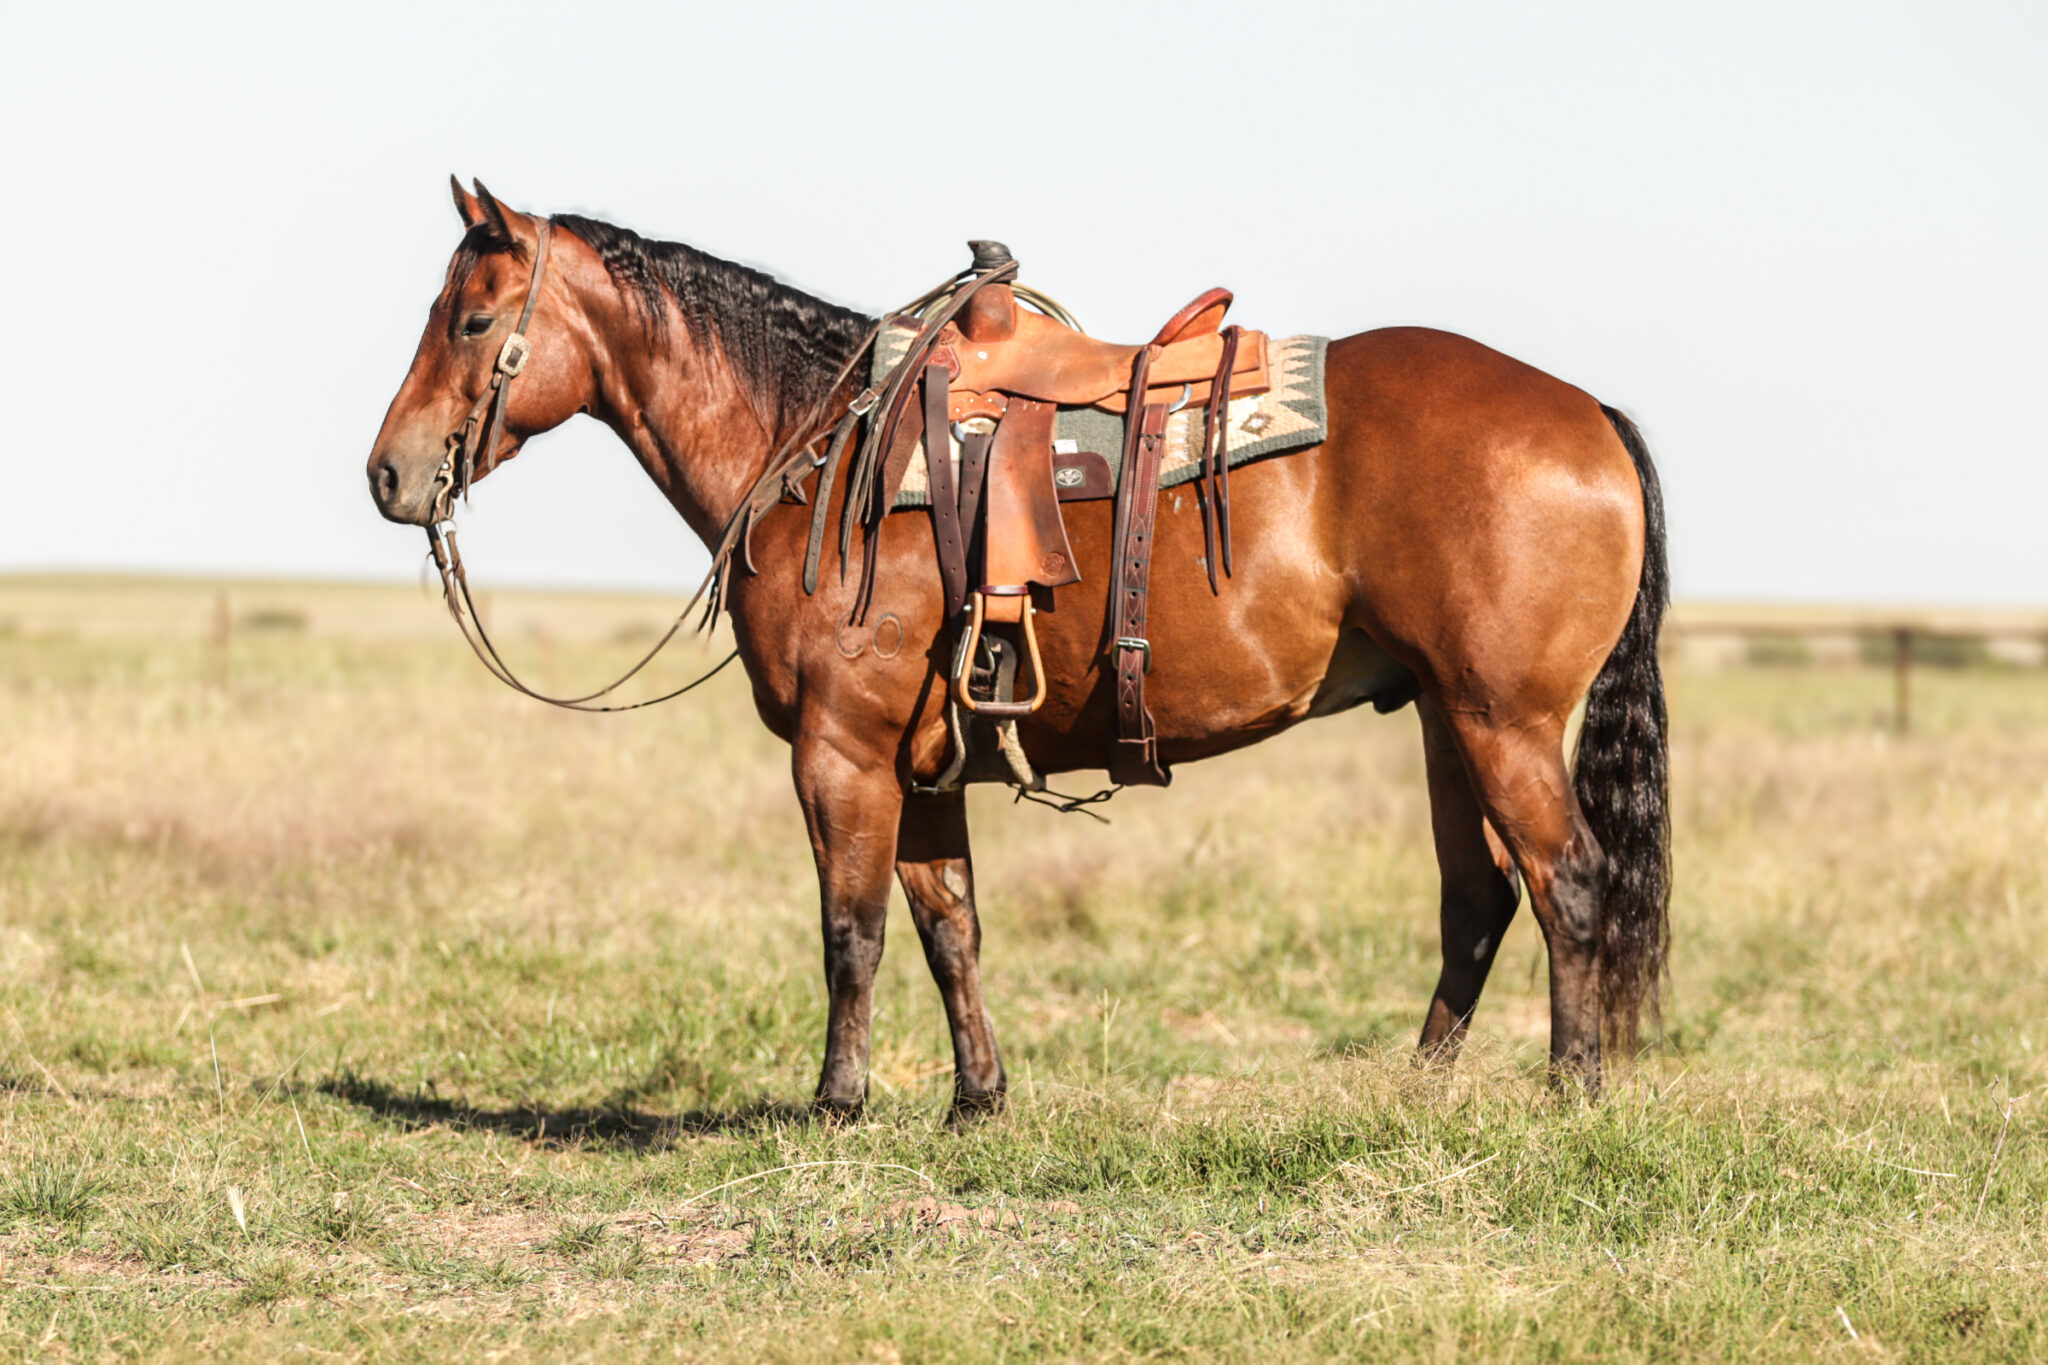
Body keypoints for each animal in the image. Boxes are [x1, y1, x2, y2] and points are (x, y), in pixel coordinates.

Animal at [368, 179, 1669, 1123]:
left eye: (472, 320)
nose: (390, 473)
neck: (815, 448)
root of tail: (1589, 413)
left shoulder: (840, 755)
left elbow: (850, 934)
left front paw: (835, 1106)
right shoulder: (922, 765)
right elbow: (949, 928)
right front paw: (975, 1102)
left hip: (1502, 723)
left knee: (1568, 882)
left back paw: (1569, 1095)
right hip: (1447, 720)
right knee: (1478, 899)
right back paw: (1417, 1095)